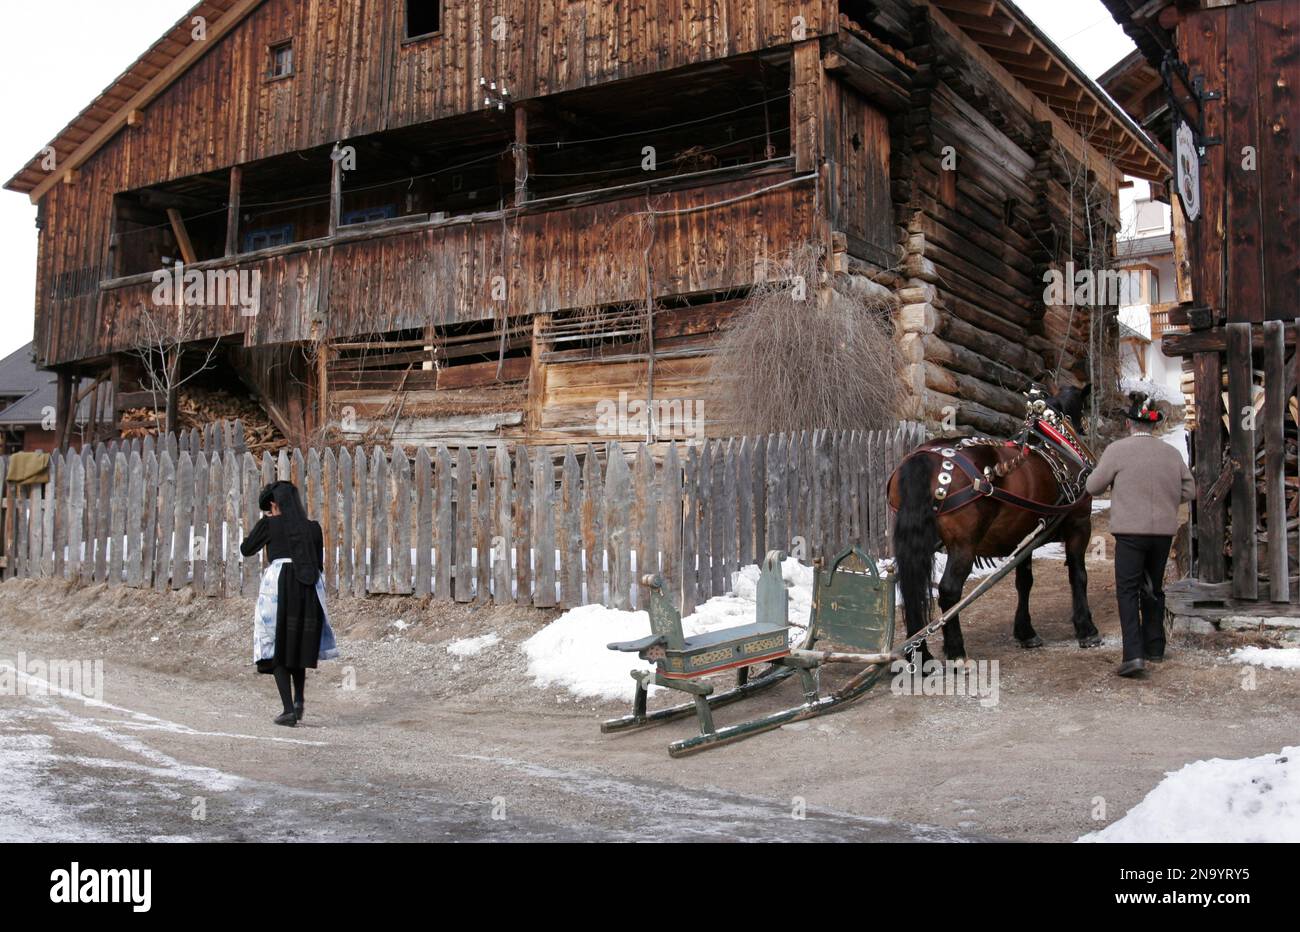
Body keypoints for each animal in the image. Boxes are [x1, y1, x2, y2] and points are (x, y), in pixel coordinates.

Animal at [887, 385, 1102, 665]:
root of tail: (925, 457)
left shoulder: (1026, 535)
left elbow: (1024, 582)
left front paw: (1026, 632)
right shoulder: (1079, 525)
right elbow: (1078, 575)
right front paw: (1086, 628)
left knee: (914, 591)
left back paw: (921, 655)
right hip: (963, 546)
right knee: (949, 590)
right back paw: (956, 651)